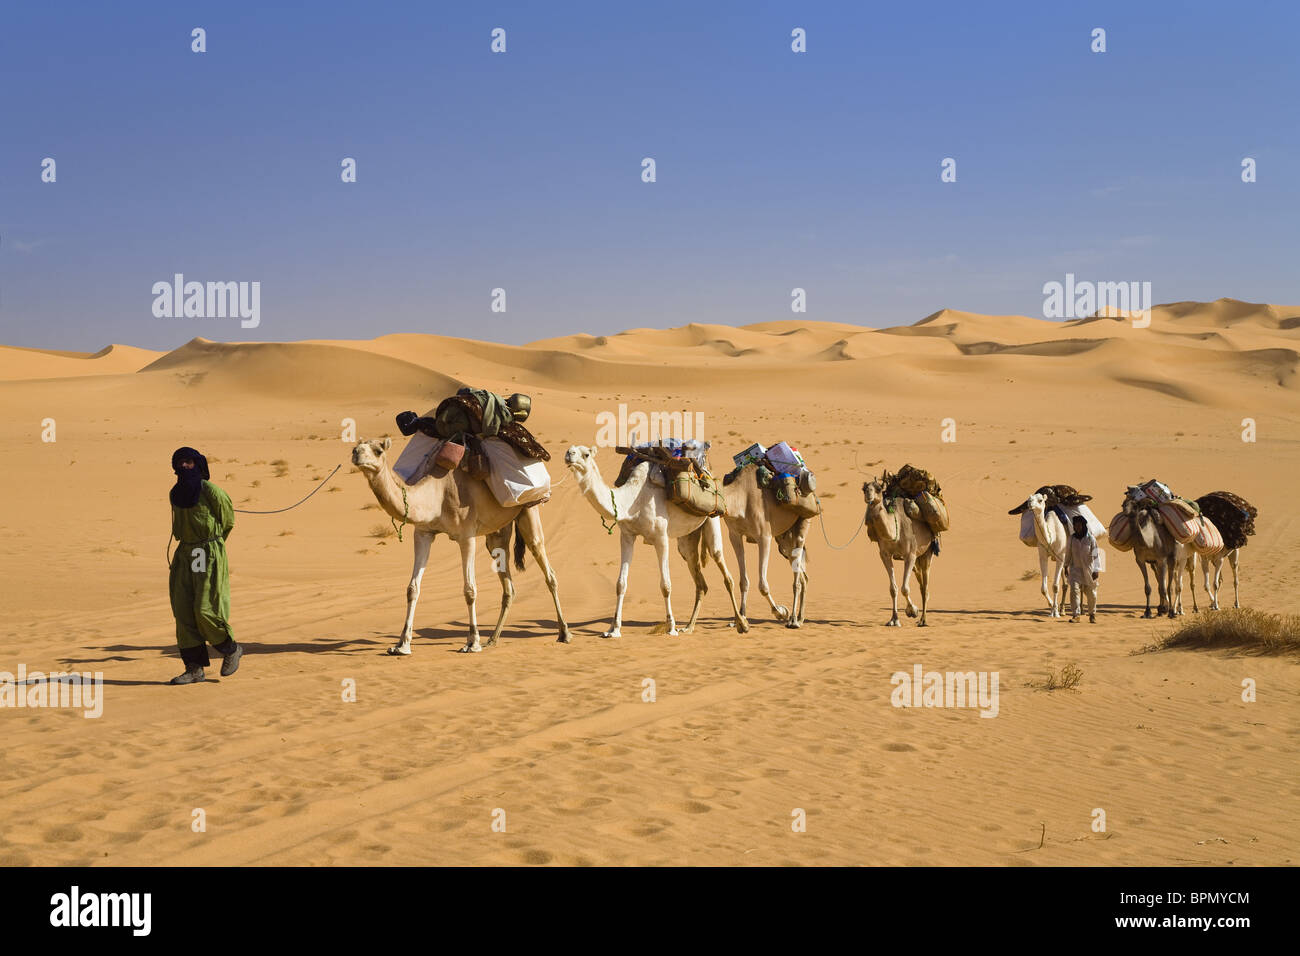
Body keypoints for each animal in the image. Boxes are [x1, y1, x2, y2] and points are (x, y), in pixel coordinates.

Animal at [351, 438, 570, 654]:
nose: (356, 454)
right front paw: (402, 644)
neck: (437, 494)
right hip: (497, 532)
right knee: (508, 584)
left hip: (528, 510)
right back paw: (493, 639)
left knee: (547, 568)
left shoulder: (466, 535)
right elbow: (412, 588)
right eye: (356, 447)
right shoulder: (423, 533)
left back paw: (564, 633)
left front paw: (472, 642)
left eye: (378, 450)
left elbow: (469, 590)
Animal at [564, 445, 748, 637]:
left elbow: (666, 586)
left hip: (713, 519)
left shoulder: (661, 537)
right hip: (687, 540)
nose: (569, 455)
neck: (631, 500)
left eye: (586, 454)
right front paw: (613, 629)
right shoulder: (627, 536)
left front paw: (671, 627)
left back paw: (741, 623)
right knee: (700, 581)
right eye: (571, 450)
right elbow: (621, 584)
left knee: (724, 570)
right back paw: (689, 627)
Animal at [720, 464, 814, 628]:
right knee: (803, 576)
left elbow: (763, 586)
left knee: (798, 576)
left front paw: (781, 612)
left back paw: (793, 620)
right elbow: (743, 581)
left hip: (802, 522)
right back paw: (800, 618)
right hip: (784, 540)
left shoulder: (764, 537)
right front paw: (741, 618)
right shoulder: (734, 535)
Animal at [862, 478, 936, 626]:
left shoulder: (910, 555)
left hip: (927, 551)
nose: (868, 495)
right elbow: (893, 588)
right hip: (917, 560)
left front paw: (913, 611)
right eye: (864, 489)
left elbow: (904, 588)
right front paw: (894, 619)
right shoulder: (885, 555)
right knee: (920, 583)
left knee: (925, 587)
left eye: (879, 488)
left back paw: (923, 620)